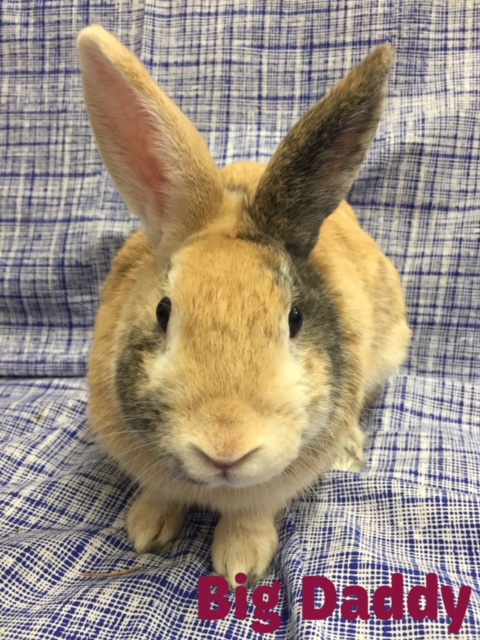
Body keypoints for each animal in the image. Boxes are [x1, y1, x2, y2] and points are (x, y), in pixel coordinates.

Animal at [78, 25, 411, 587]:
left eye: (295, 319)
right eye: (163, 311)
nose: (225, 449)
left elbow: (251, 512)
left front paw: (240, 565)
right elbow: (161, 493)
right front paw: (146, 530)